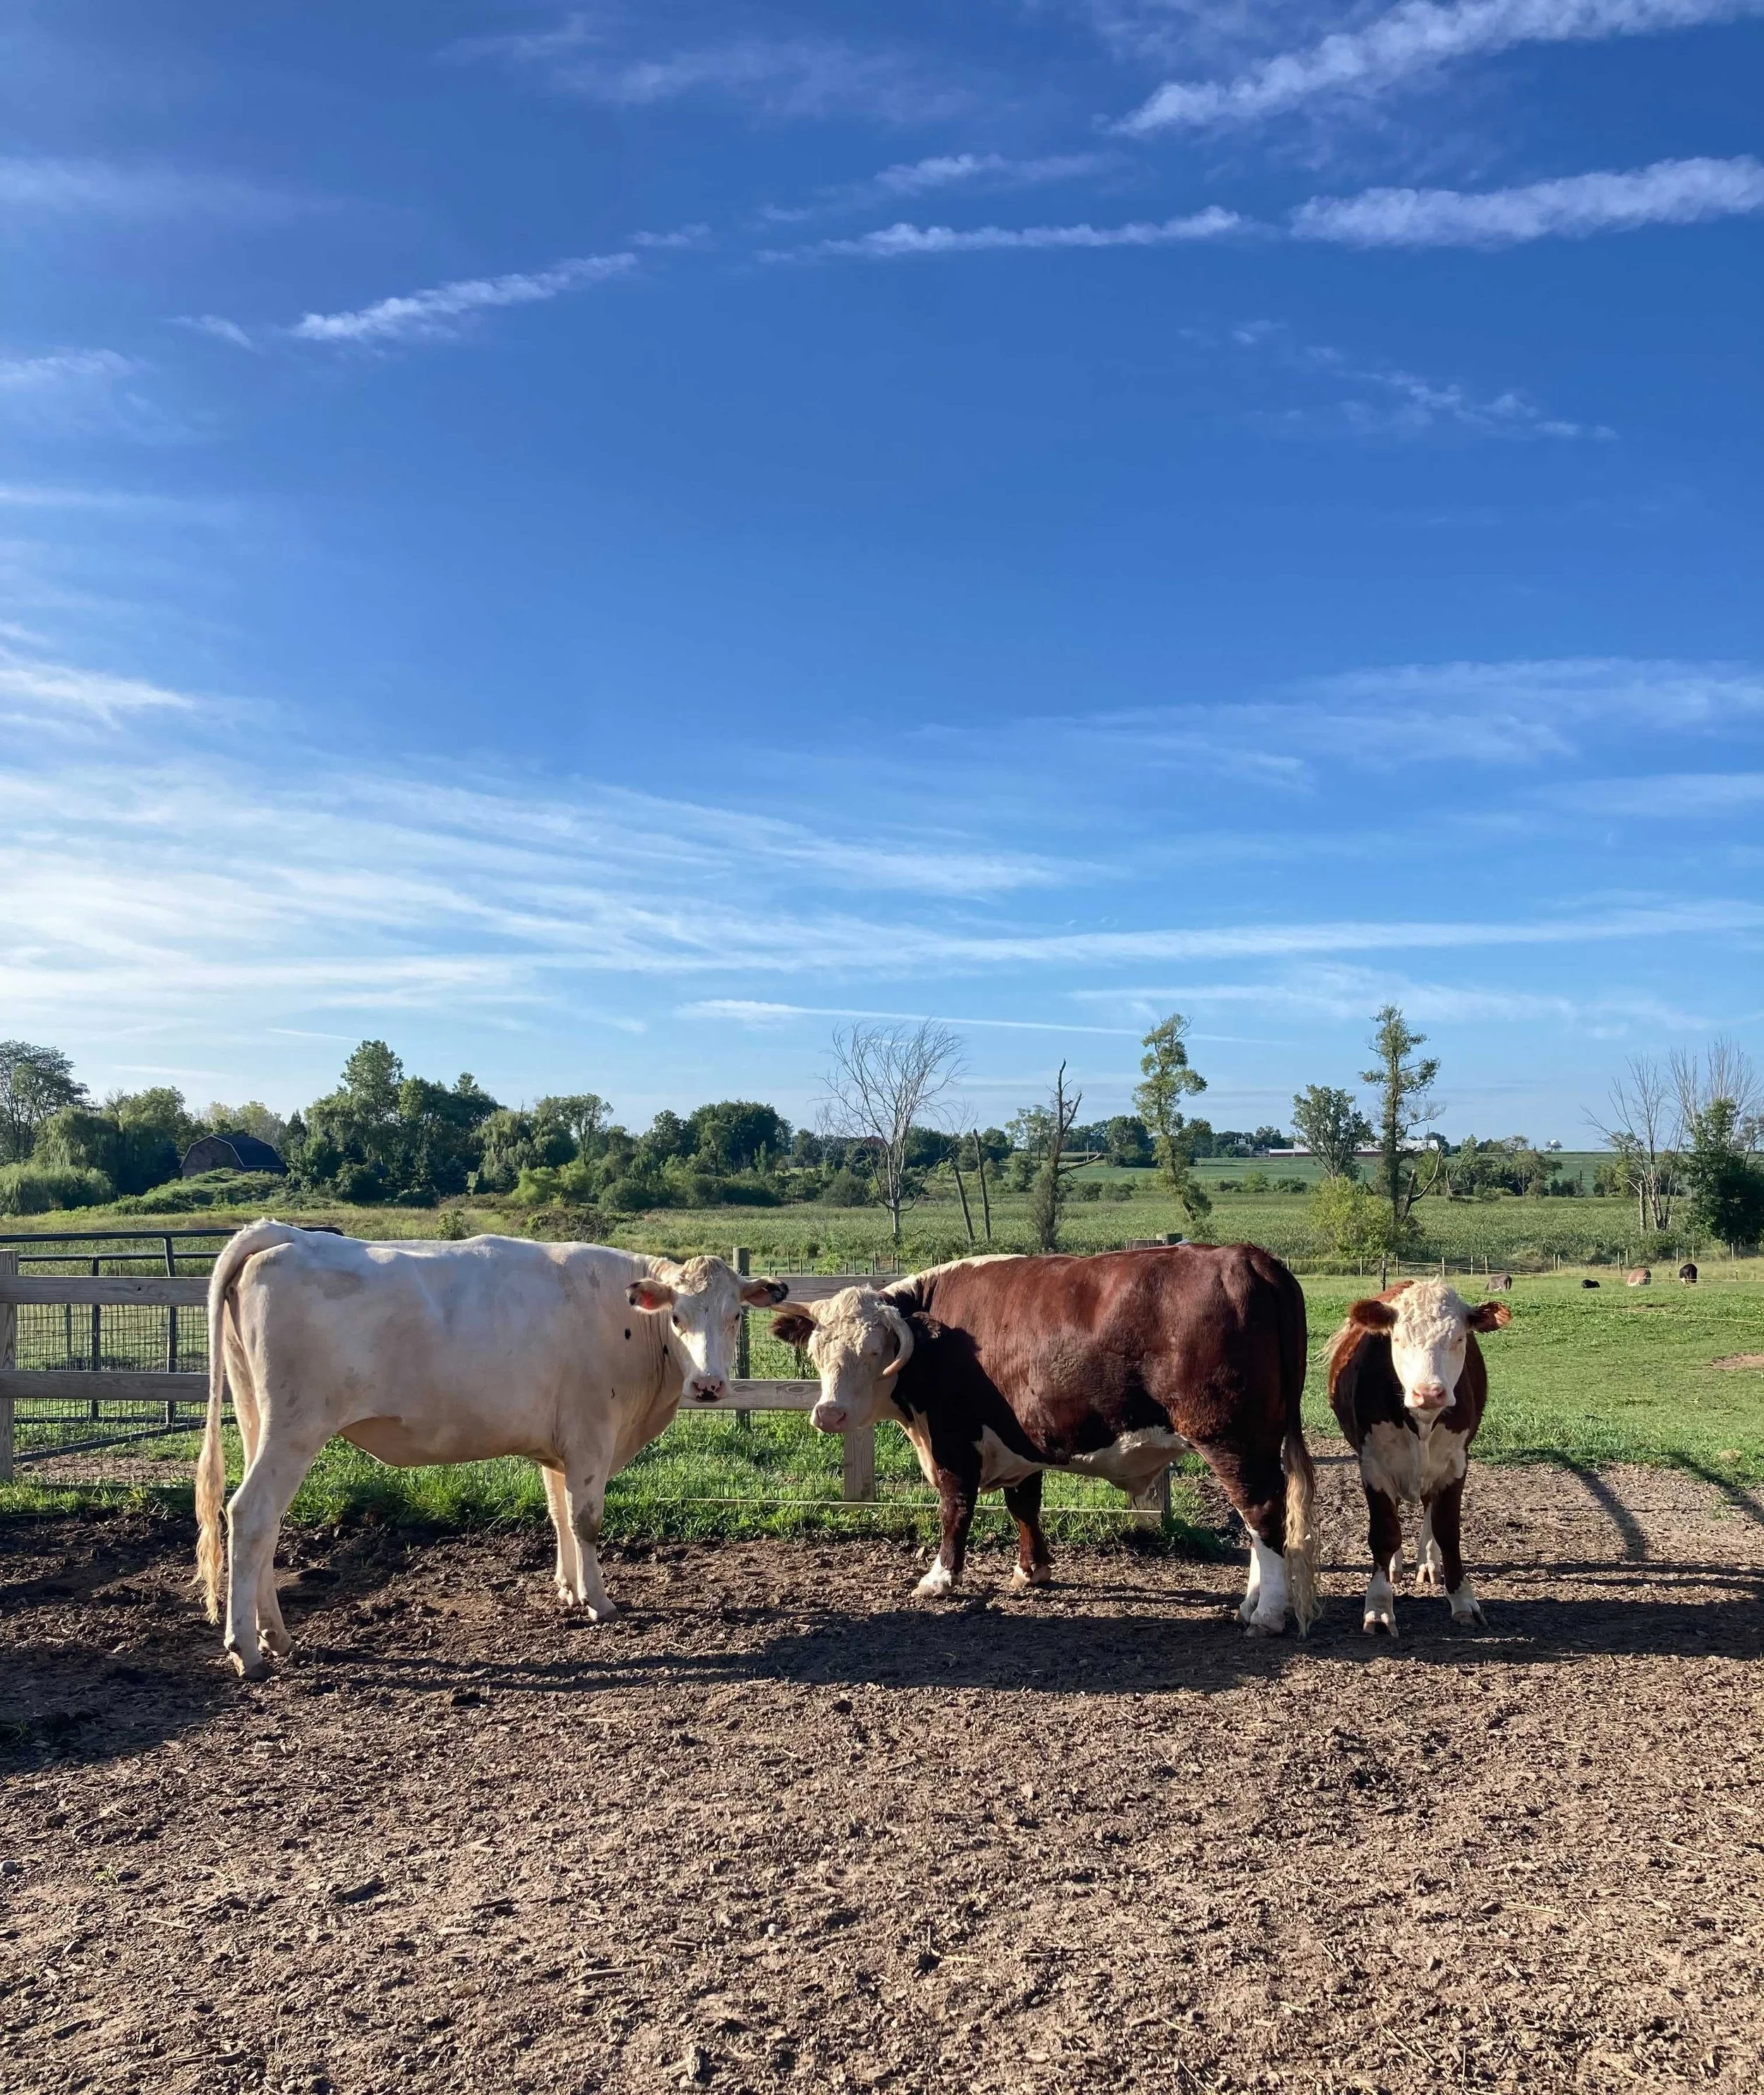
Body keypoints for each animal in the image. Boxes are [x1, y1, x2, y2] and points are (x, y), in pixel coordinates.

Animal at [195, 1219, 786, 1677]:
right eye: (677, 1317)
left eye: (735, 1315)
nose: (709, 1384)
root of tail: (287, 1233)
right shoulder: (592, 1431)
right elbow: (586, 1519)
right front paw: (598, 1601)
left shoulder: (561, 1445)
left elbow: (558, 1512)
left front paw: (568, 1589)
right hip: (294, 1429)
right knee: (251, 1514)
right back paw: (247, 1649)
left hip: (257, 1418)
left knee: (264, 1527)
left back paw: (276, 1635)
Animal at [771, 1245, 1319, 1637]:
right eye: (818, 1350)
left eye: (874, 1349)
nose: (829, 1413)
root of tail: (1251, 1257)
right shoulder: (1022, 1439)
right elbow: (1024, 1505)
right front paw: (1031, 1571)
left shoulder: (953, 1440)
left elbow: (955, 1508)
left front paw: (940, 1578)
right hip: (1256, 1443)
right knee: (1259, 1520)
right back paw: (1250, 1602)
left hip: (1231, 1439)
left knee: (1263, 1512)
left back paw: (1267, 1614)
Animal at [1326, 1280, 1511, 1635]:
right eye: (1398, 1339)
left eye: (1459, 1338)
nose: (1428, 1393)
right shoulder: (1373, 1466)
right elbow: (1385, 1534)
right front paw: (1379, 1607)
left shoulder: (1456, 1464)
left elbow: (1447, 1530)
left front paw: (1463, 1601)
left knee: (1429, 1510)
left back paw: (1428, 1563)